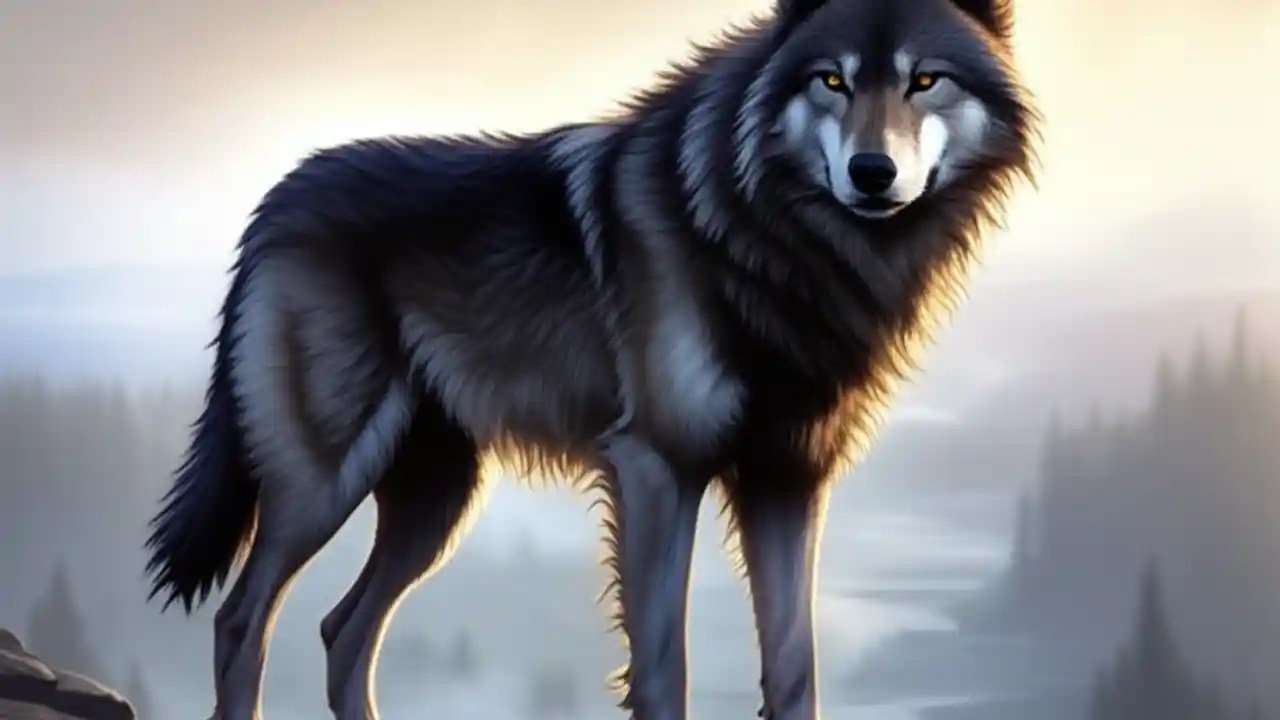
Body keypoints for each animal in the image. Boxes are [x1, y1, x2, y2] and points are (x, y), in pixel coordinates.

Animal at [145, 0, 1036, 718]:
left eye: (925, 80)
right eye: (832, 80)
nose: (871, 172)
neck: (774, 240)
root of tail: (275, 199)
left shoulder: (789, 479)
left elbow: (793, 670)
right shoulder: (656, 468)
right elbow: (663, 666)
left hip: (436, 505)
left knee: (342, 630)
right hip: (324, 481)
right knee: (241, 619)